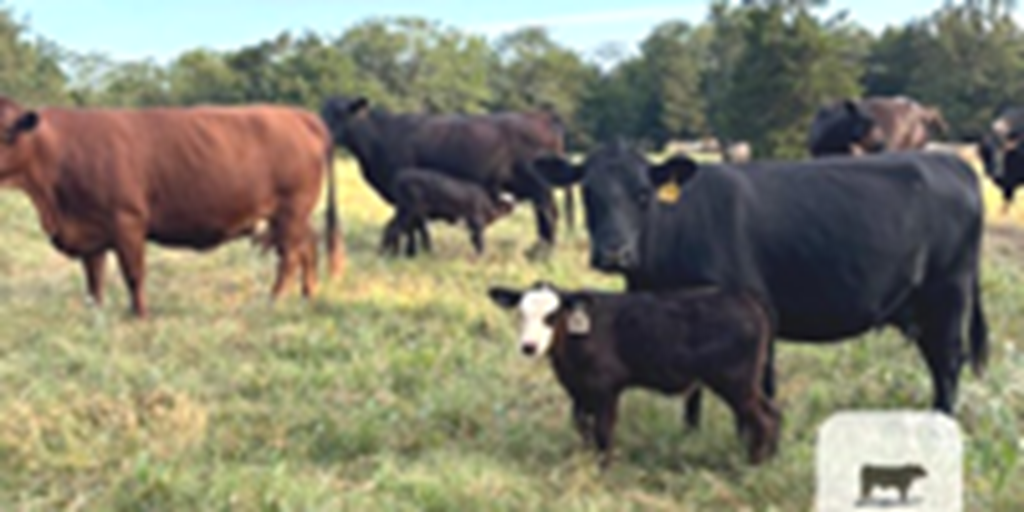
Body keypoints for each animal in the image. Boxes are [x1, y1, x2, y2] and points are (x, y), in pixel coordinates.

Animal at [0, 96, 343, 317]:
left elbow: (133, 273)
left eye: (5, 131)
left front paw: (139, 315)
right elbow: (93, 278)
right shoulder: (88, 228)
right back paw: (308, 295)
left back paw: (273, 301)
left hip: (290, 212)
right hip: (294, 217)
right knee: (309, 246)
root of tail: (299, 115)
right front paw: (95, 313)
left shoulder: (127, 221)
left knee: (291, 257)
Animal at [382, 168, 515, 256]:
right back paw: (391, 254)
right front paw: (481, 256)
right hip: (410, 210)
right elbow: (478, 240)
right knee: (395, 229)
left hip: (403, 209)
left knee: (390, 226)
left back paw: (387, 253)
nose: (512, 207)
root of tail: (400, 176)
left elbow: (474, 239)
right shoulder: (475, 221)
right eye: (506, 204)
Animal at [488, 282, 780, 467]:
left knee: (763, 420)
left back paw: (752, 466)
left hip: (735, 382)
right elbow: (582, 427)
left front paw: (603, 468)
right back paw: (769, 460)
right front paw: (586, 460)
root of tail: (743, 297)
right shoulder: (579, 391)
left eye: (552, 315)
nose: (529, 346)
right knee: (772, 413)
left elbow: (603, 430)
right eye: (520, 313)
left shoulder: (605, 388)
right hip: (747, 383)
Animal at [535, 141, 988, 429]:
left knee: (949, 362)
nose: (614, 252)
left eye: (643, 193)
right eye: (588, 192)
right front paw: (690, 433)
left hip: (948, 294)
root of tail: (953, 163)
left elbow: (758, 382)